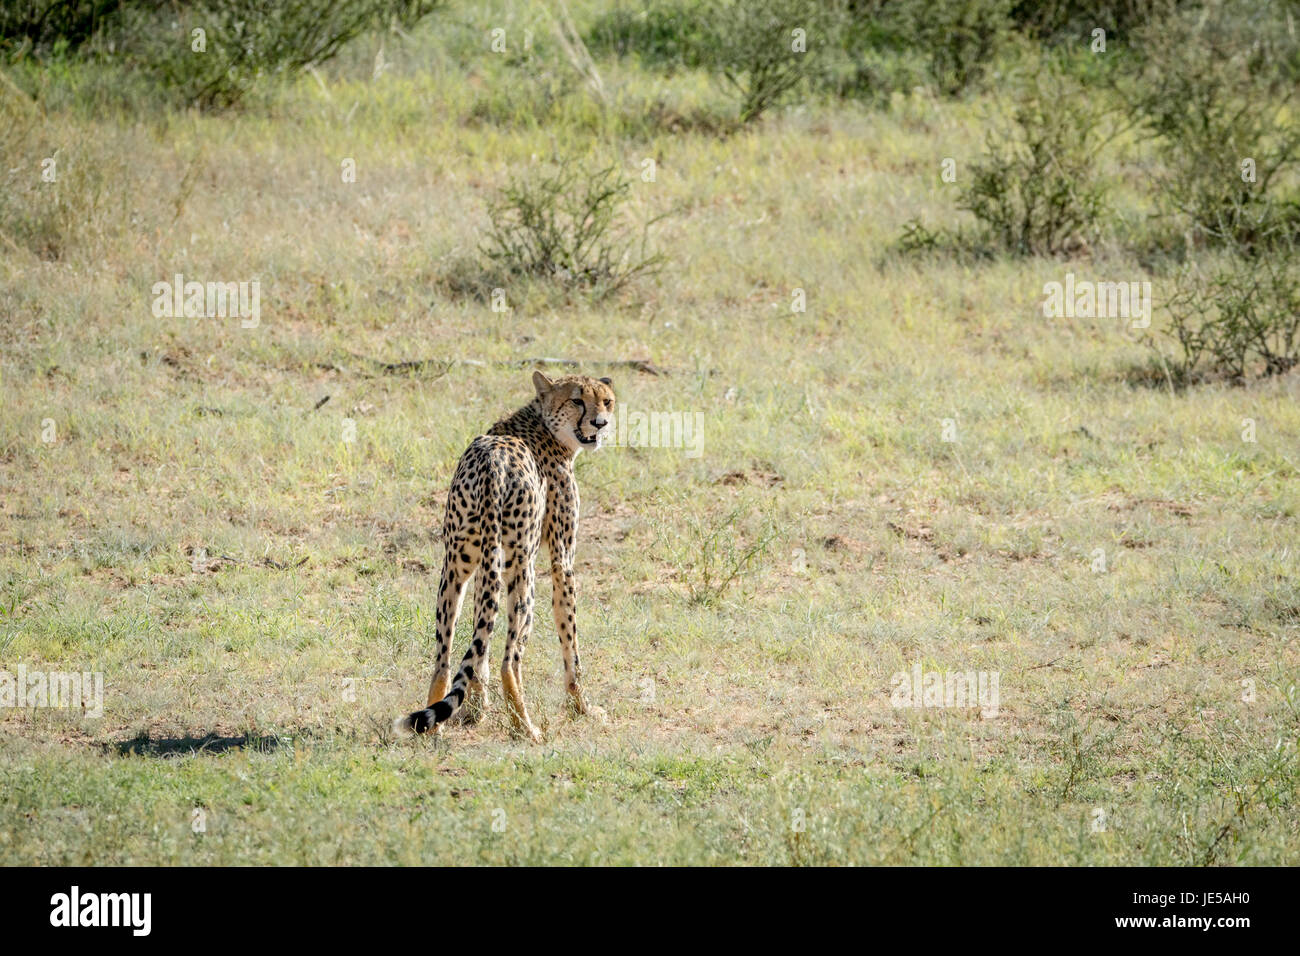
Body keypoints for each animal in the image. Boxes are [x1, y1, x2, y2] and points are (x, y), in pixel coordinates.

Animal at [395, 370, 615, 741]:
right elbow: (570, 640)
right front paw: (582, 706)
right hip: (523, 571)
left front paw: (476, 708)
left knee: (444, 656)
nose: (600, 423)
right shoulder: (562, 560)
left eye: (607, 401)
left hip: (457, 566)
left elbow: (477, 644)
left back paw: (434, 724)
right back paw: (526, 727)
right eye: (577, 400)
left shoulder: (483, 565)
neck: (541, 423)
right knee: (510, 659)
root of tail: (491, 464)